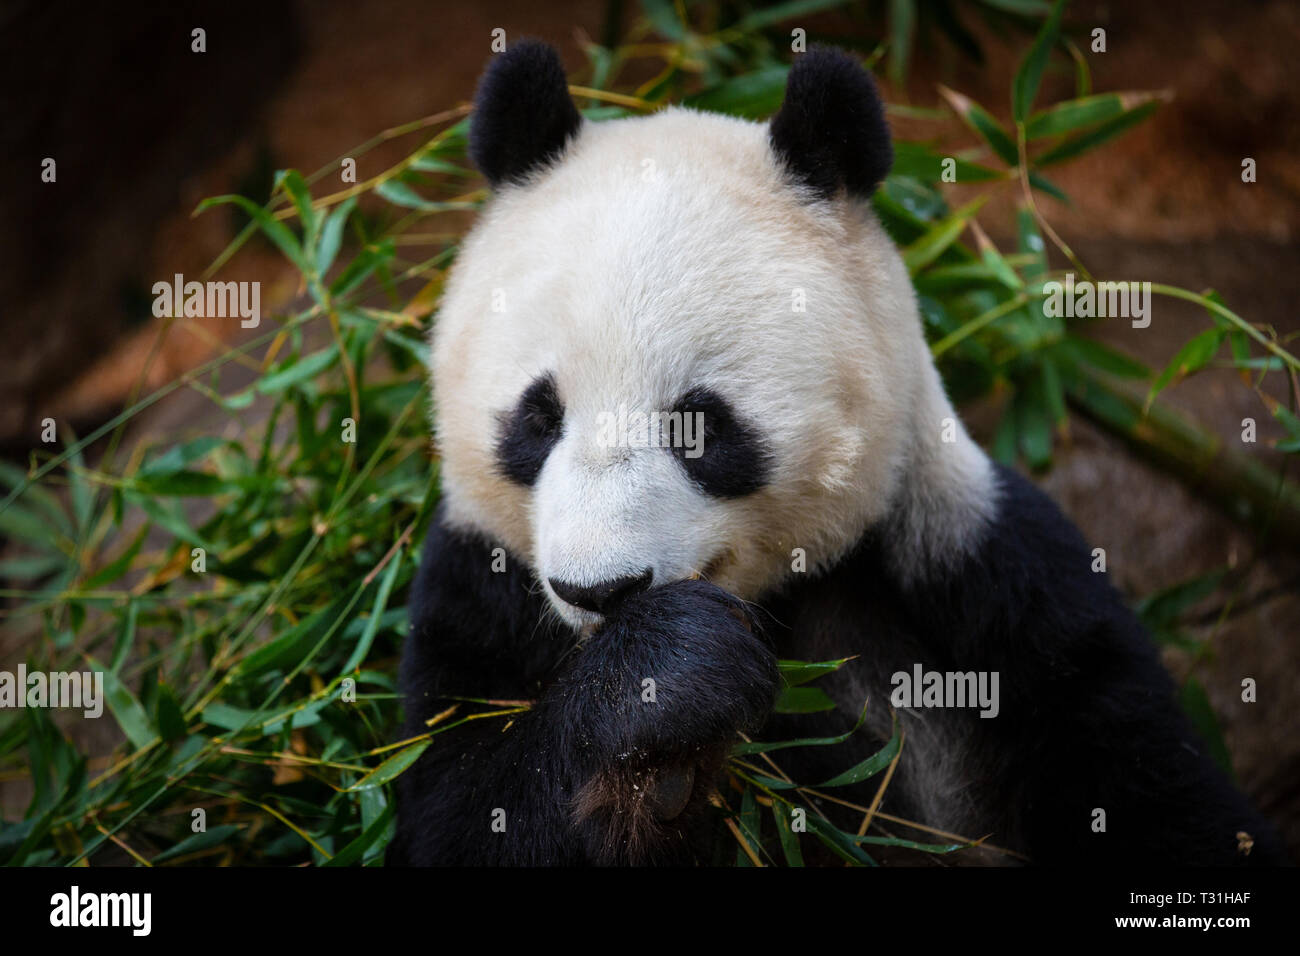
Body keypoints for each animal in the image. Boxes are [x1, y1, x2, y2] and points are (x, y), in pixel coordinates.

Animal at [388, 40, 1287, 866]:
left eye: (697, 426)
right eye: (538, 420)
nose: (600, 592)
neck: (772, 598)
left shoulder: (983, 571)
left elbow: (1158, 794)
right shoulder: (477, 587)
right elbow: (460, 815)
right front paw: (664, 695)